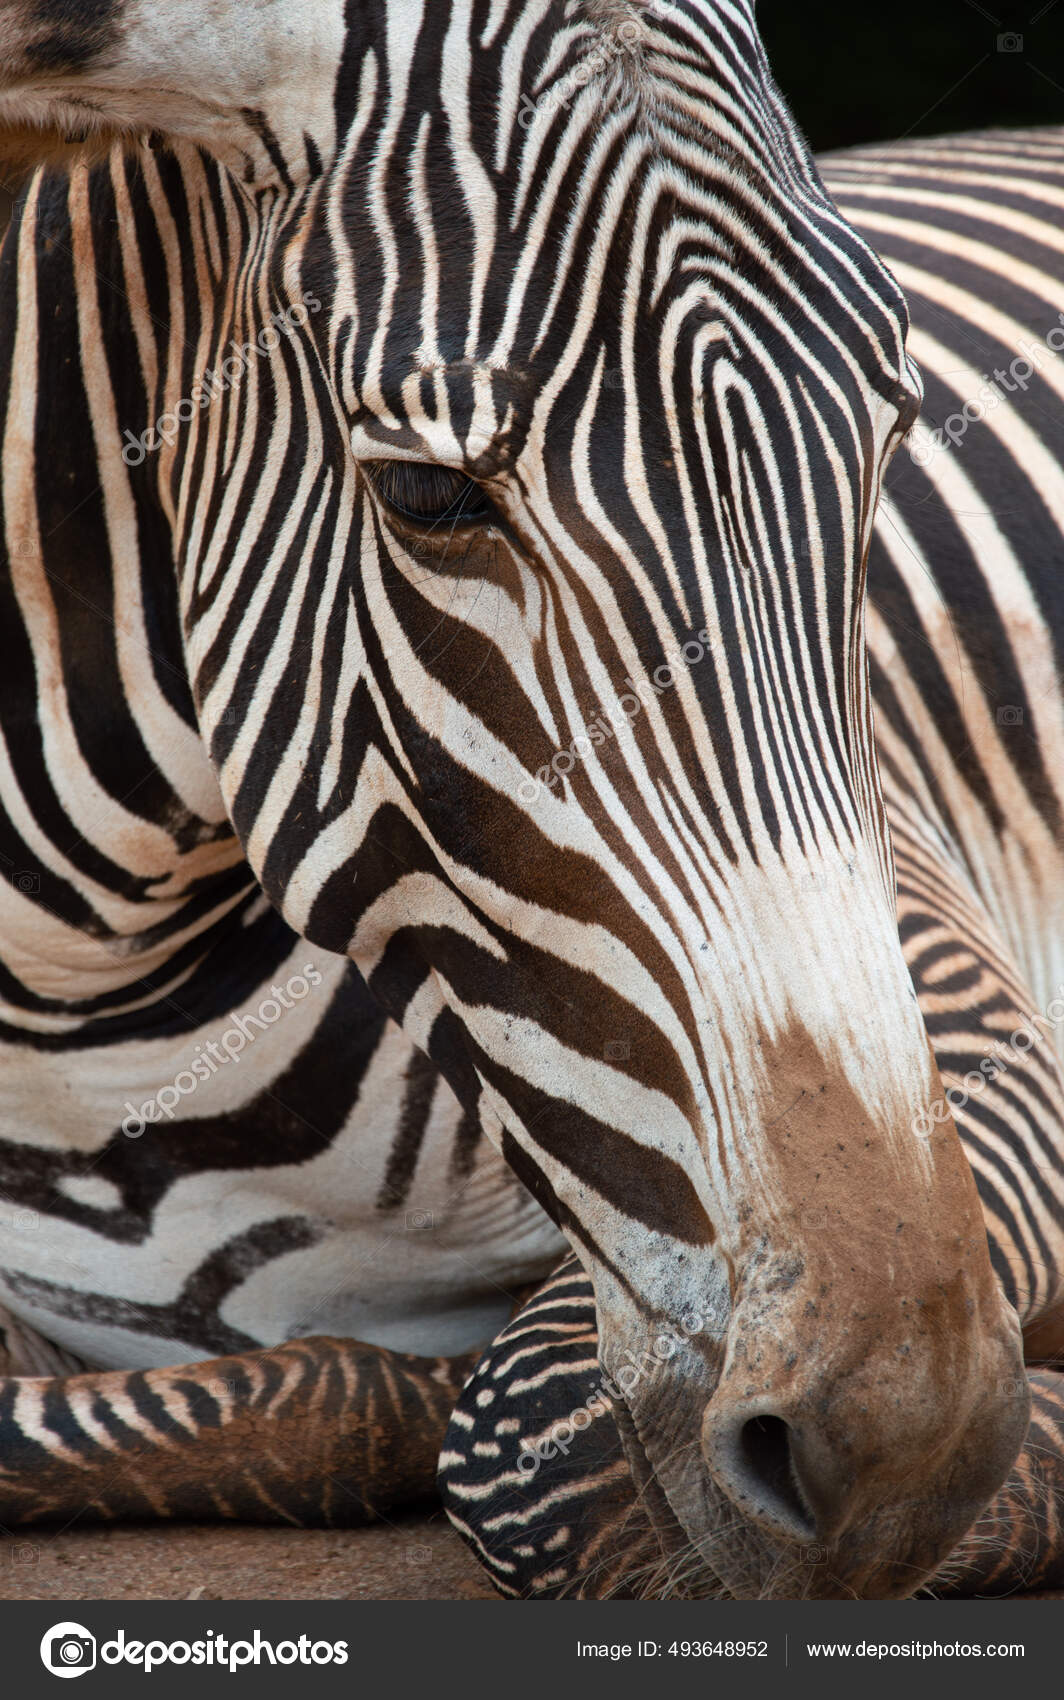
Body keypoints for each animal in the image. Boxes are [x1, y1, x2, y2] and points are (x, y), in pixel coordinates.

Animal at [0, 0, 1057, 1602]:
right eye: (429, 499)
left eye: (891, 437)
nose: (908, 1448)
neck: (88, 1001)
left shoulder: (962, 992)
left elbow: (536, 1448)